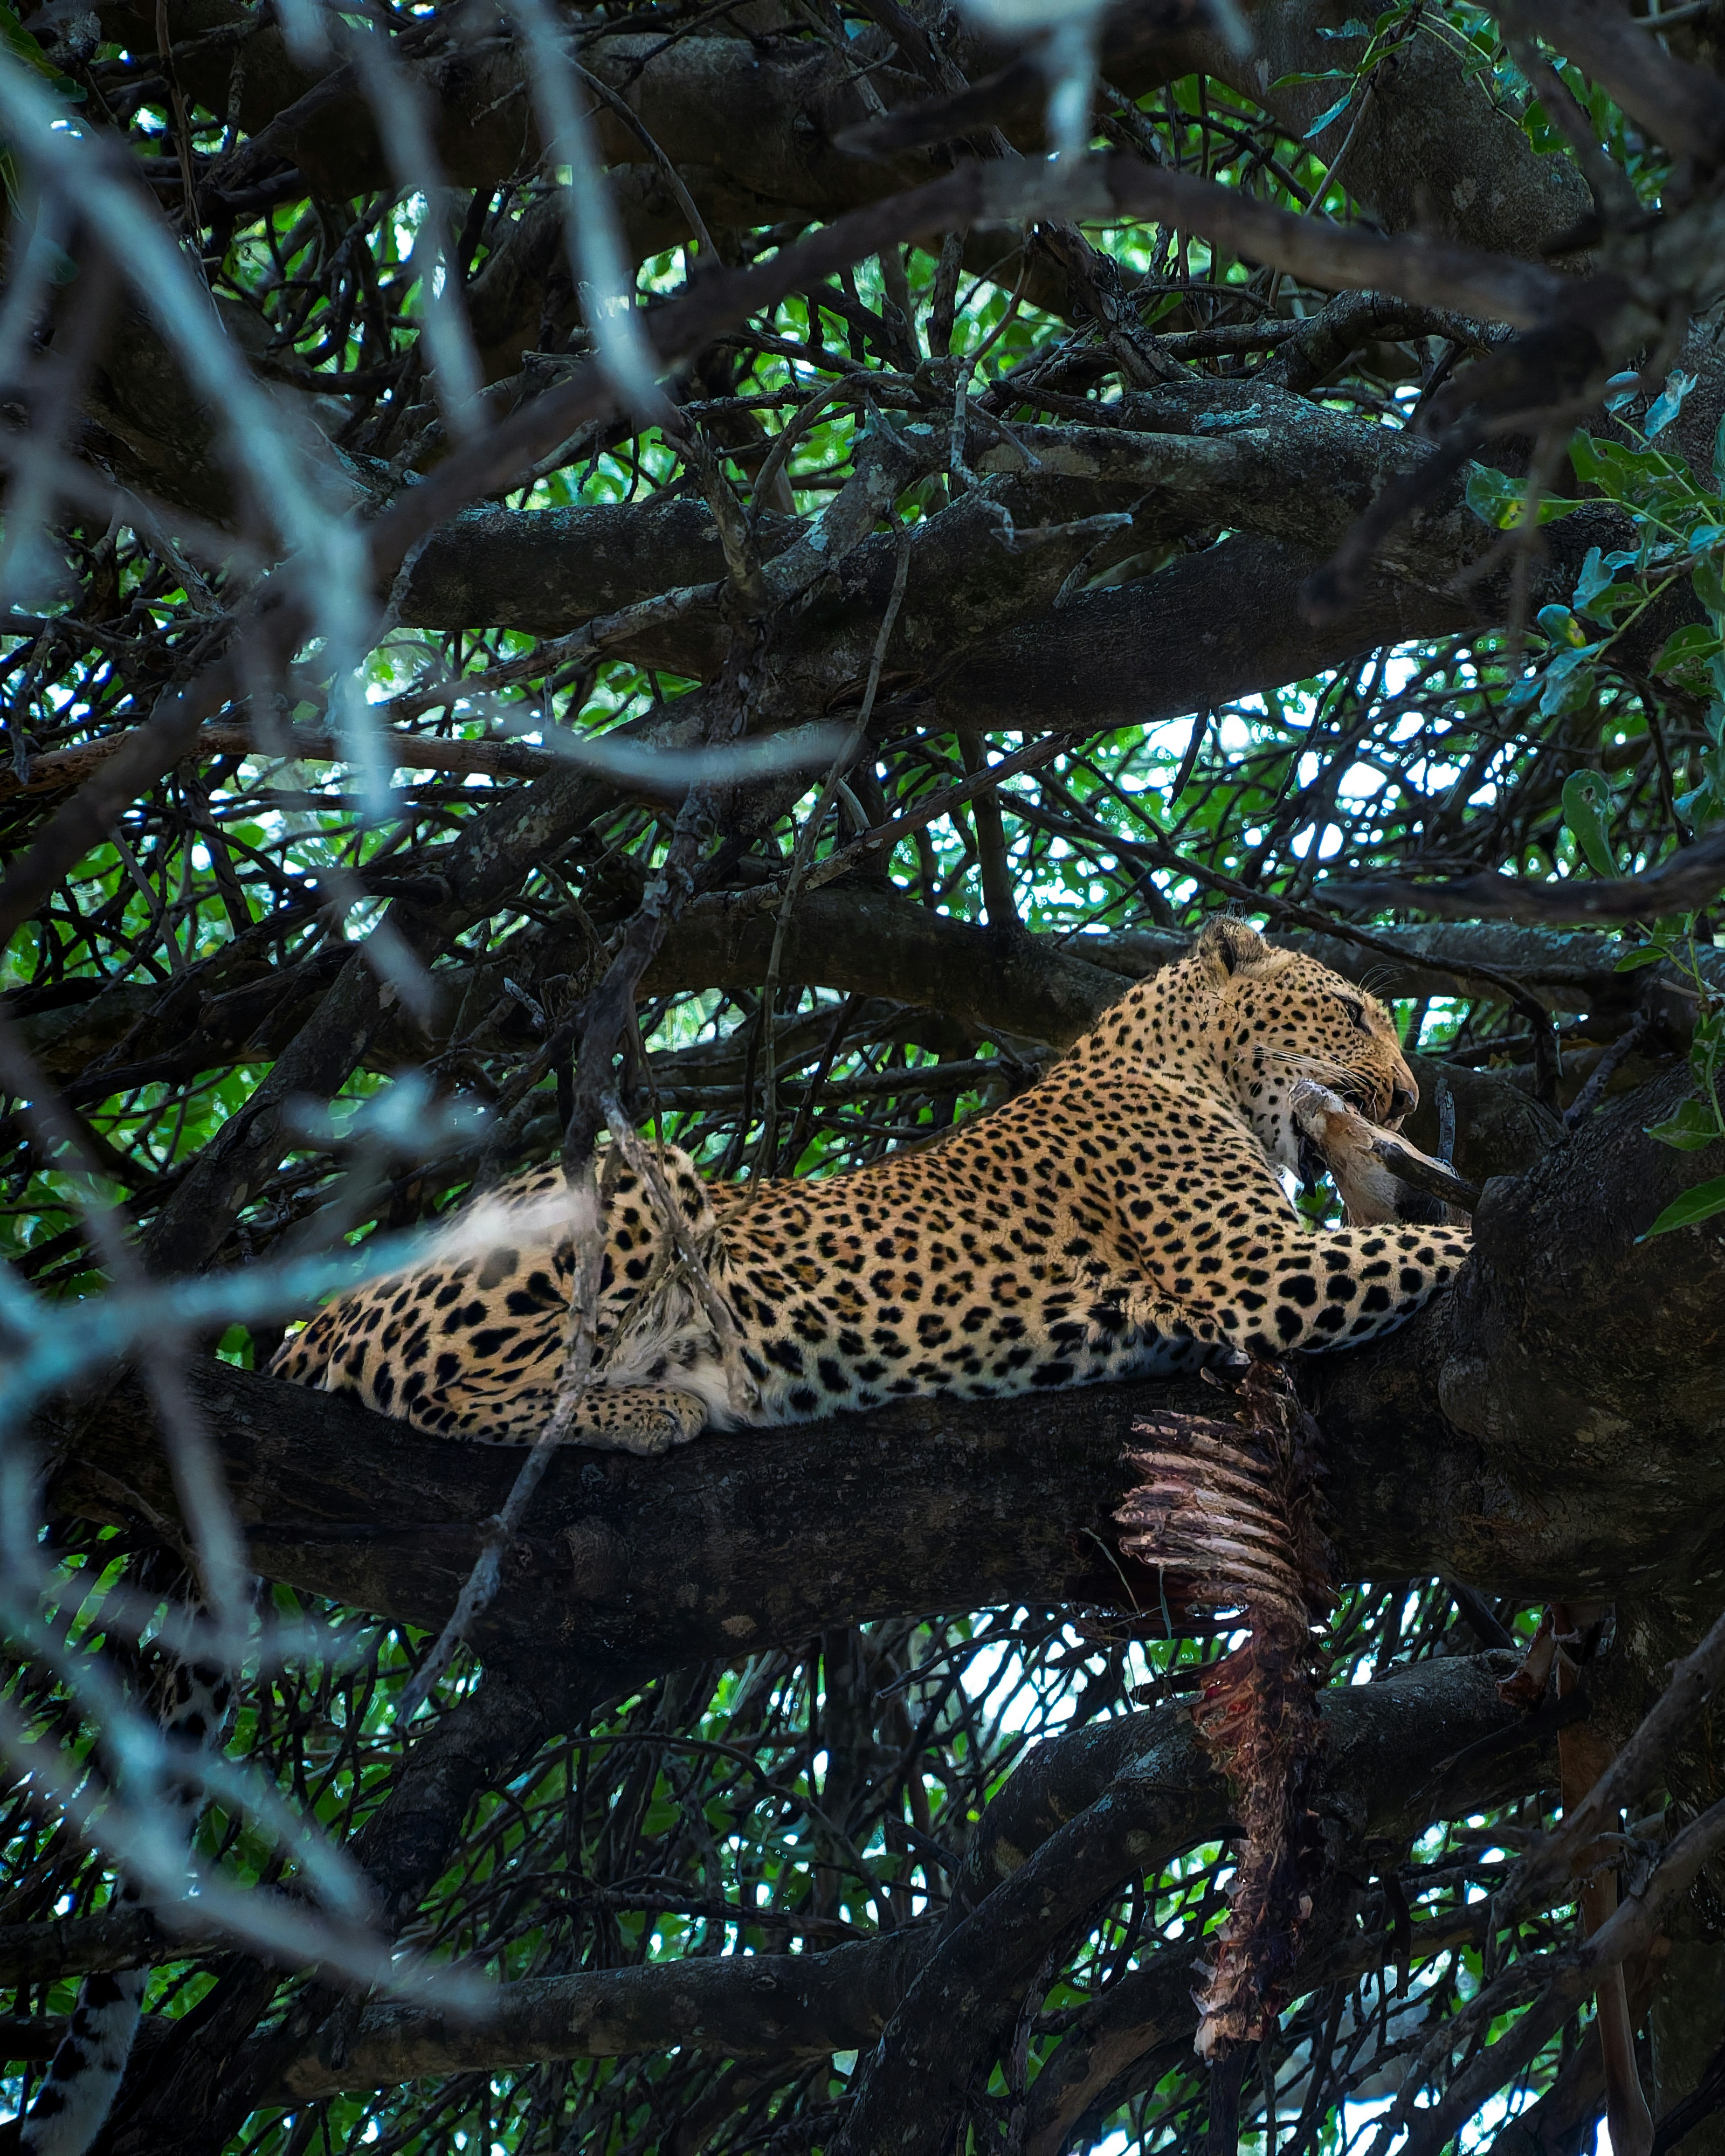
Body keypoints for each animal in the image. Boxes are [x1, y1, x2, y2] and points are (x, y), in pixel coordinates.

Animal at [271, 918, 1472, 1450]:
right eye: (1355, 1013)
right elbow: (1432, 1247)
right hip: (638, 1178)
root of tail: (312, 1313)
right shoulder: (1250, 1271)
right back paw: (653, 1403)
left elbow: (1395, 1230)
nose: (1411, 1096)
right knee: (436, 1390)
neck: (1178, 1061)